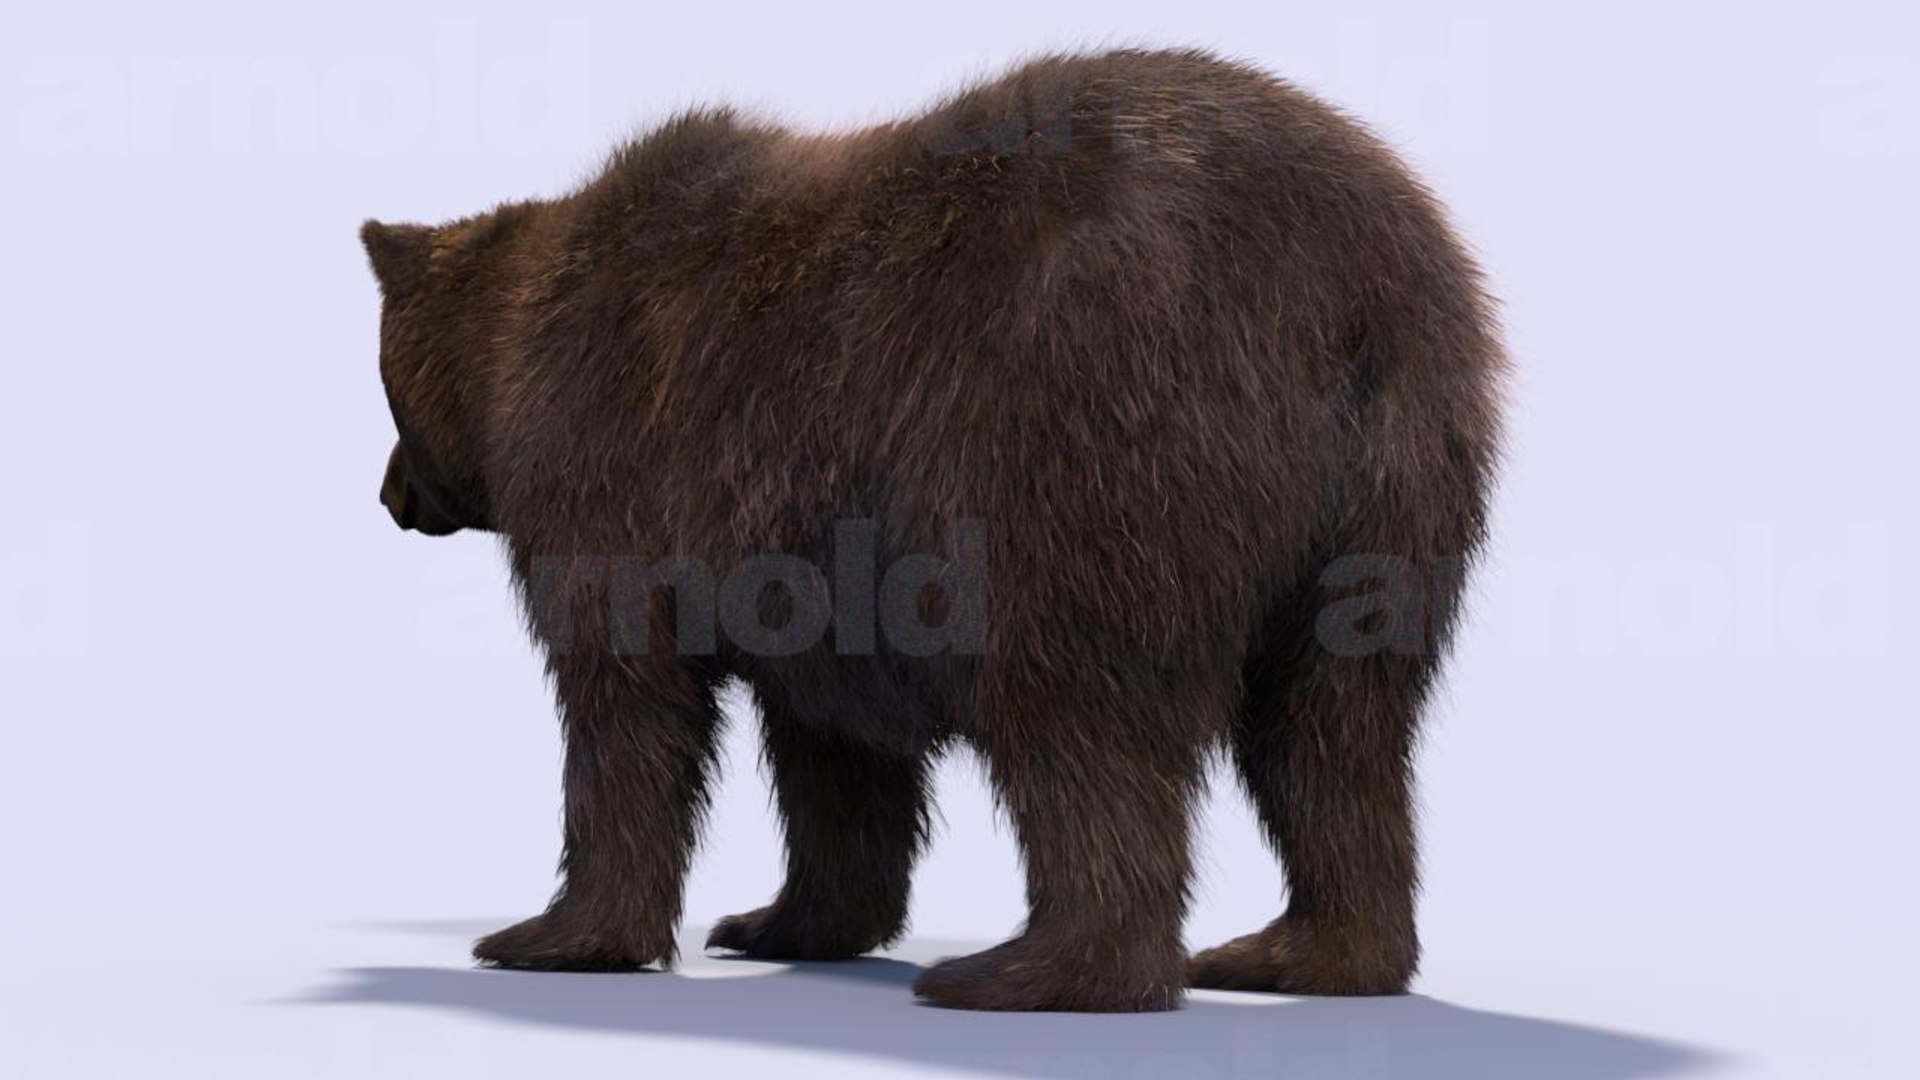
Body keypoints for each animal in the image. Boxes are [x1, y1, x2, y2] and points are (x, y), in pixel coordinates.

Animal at [363, 47, 1505, 1012]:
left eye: (382, 388)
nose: (387, 495)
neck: (512, 354)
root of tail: (1337, 293)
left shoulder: (615, 467)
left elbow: (624, 702)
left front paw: (547, 936)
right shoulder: (808, 560)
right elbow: (834, 755)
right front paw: (777, 919)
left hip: (1078, 451)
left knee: (1083, 720)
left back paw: (1030, 971)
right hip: (1395, 497)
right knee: (1334, 727)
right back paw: (1300, 955)